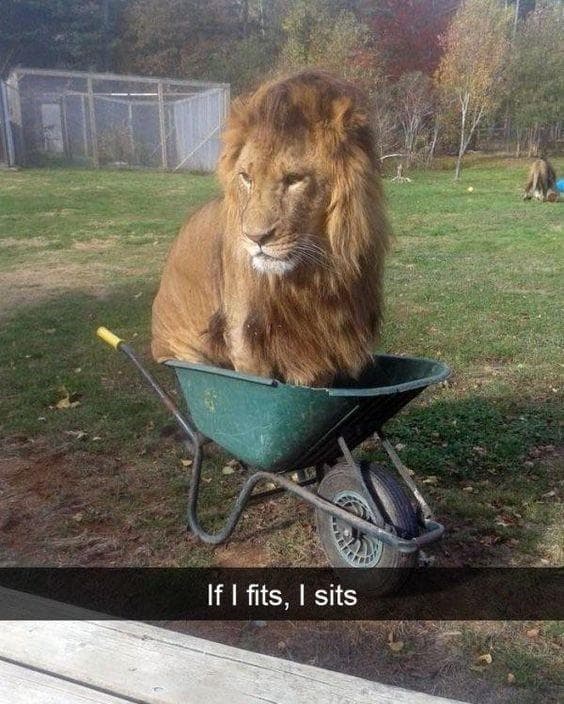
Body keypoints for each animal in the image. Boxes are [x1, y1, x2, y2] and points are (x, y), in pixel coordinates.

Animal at [151, 71, 390, 387]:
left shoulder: (321, 348)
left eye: (294, 179)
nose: (255, 238)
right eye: (246, 177)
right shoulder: (245, 338)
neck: (312, 277)